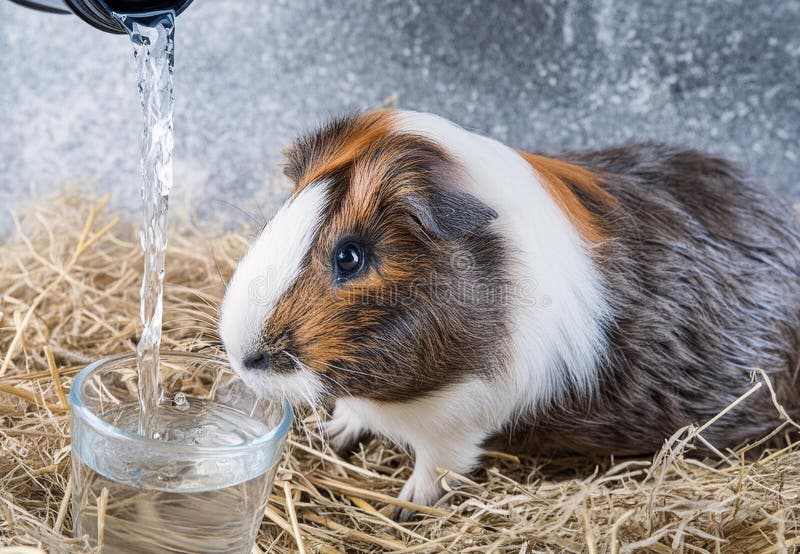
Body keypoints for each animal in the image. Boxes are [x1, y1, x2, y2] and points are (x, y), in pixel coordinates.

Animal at [219, 109, 800, 516]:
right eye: (279, 219)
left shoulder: (458, 424)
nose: (242, 356)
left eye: (350, 256)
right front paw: (335, 434)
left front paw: (404, 508)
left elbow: (437, 469)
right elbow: (354, 413)